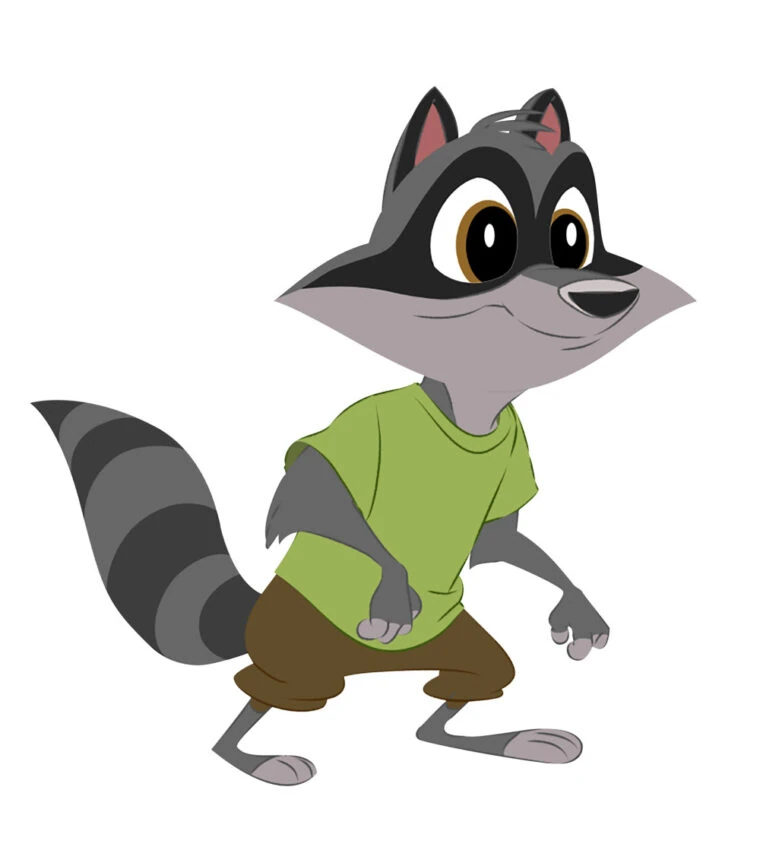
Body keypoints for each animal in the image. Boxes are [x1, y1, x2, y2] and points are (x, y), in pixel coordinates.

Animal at [34, 88, 693, 785]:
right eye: (487, 239)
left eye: (574, 237)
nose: (604, 296)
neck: (469, 411)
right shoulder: (369, 423)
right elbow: (313, 488)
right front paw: (393, 581)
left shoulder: (515, 449)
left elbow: (498, 540)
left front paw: (576, 602)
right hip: (294, 645)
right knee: (271, 695)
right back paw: (249, 756)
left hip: (454, 644)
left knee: (458, 695)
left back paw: (496, 737)